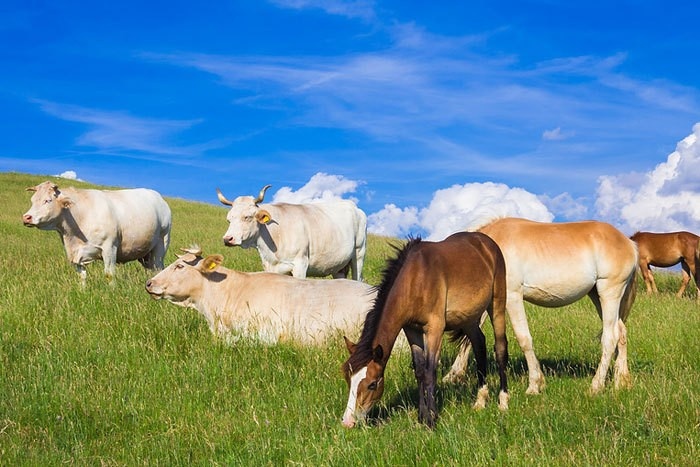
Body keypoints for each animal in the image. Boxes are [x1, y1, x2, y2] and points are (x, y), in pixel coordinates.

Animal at [23, 180, 172, 284]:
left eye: (47, 200)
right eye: (32, 200)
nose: (26, 217)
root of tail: (158, 197)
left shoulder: (109, 247)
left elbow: (109, 274)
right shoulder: (77, 254)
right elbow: (82, 276)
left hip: (161, 243)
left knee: (159, 267)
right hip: (145, 253)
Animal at [216, 185, 367, 281]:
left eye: (247, 217)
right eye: (229, 219)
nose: (227, 239)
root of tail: (353, 206)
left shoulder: (300, 264)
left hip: (359, 253)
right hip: (339, 265)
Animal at [341, 232, 509, 429]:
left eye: (372, 384)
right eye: (349, 379)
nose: (348, 421)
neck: (416, 278)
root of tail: (486, 242)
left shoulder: (434, 329)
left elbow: (430, 372)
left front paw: (431, 419)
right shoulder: (412, 330)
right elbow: (420, 371)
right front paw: (421, 416)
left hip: (497, 304)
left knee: (500, 347)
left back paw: (503, 401)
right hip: (469, 318)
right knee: (479, 345)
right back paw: (480, 401)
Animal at [443, 218, 638, 396]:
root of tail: (630, 244)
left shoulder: (512, 296)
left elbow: (524, 339)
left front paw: (534, 385)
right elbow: (470, 338)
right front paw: (453, 376)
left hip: (609, 293)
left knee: (610, 337)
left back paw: (596, 386)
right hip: (597, 295)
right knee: (621, 332)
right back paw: (621, 382)